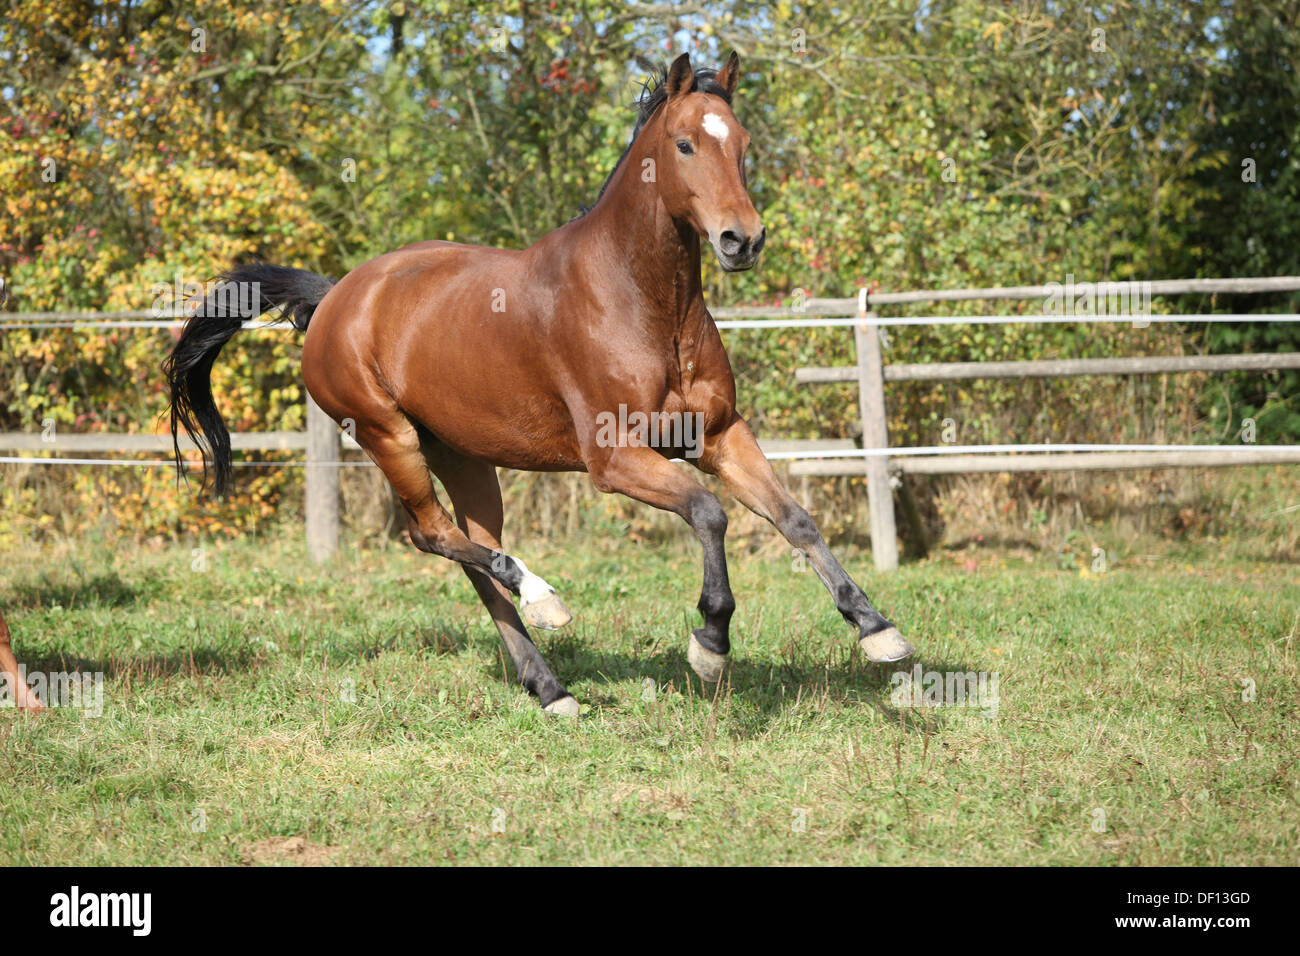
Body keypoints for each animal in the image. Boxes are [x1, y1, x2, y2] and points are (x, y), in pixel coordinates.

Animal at [165, 52, 914, 715]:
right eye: (684, 144)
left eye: (744, 145)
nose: (742, 240)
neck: (642, 302)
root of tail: (335, 298)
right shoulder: (614, 461)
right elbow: (709, 512)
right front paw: (709, 644)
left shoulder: (721, 435)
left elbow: (794, 518)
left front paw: (879, 633)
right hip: (388, 436)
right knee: (432, 535)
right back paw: (546, 601)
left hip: (465, 459)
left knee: (473, 550)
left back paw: (550, 688)